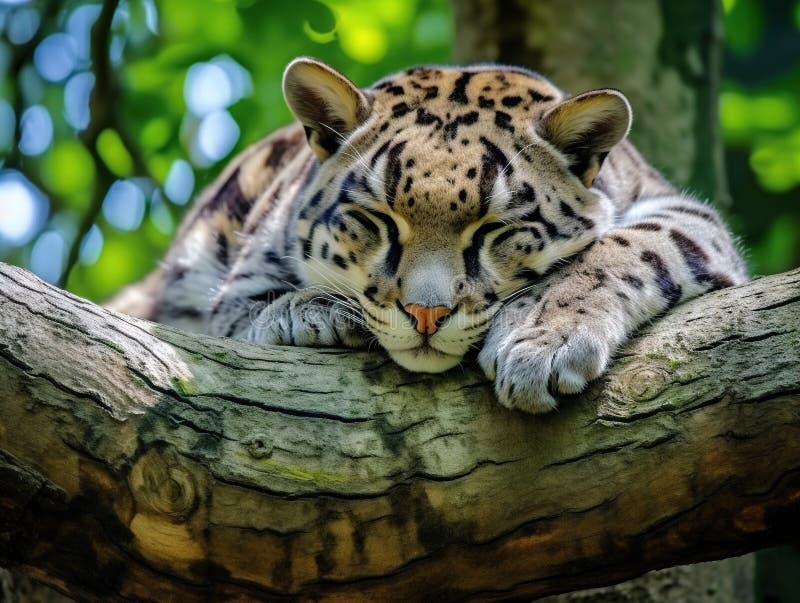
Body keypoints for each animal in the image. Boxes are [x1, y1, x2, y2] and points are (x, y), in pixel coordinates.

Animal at [109, 57, 747, 414]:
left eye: (495, 229)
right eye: (379, 219)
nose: (425, 314)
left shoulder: (685, 213)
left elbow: (626, 247)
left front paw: (541, 340)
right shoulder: (234, 282)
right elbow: (238, 316)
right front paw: (312, 310)